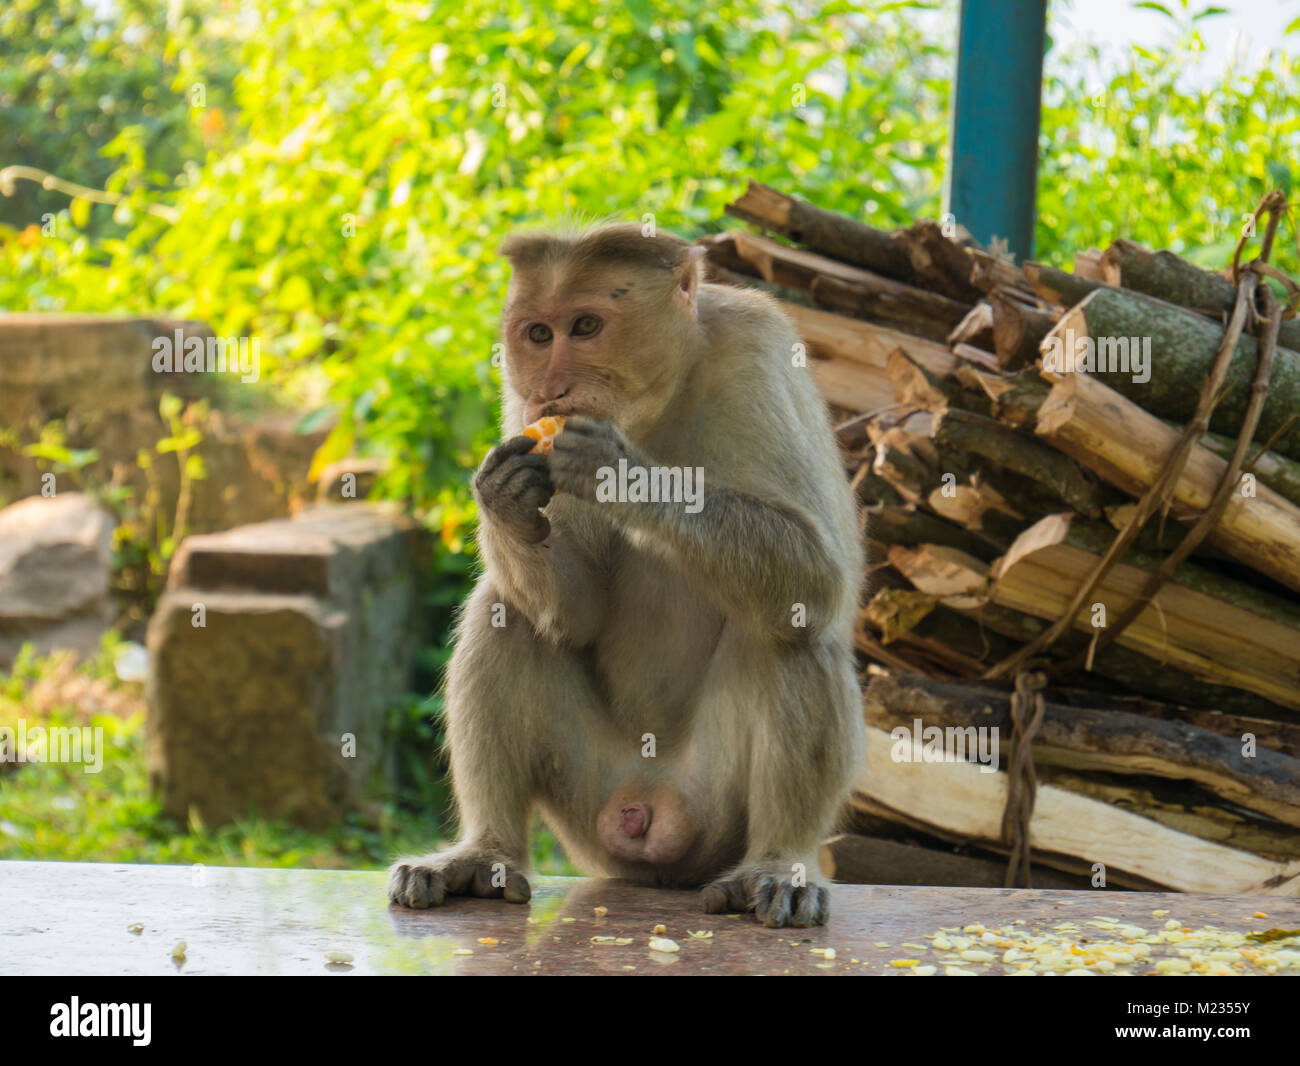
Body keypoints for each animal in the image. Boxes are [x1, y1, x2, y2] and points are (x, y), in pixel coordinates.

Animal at [387, 222, 864, 927]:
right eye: (538, 334)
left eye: (585, 326)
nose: (553, 385)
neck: (660, 400)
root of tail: (646, 808)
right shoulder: (519, 403)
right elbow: (574, 615)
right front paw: (504, 498)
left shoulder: (759, 348)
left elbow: (821, 574)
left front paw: (624, 475)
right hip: (588, 804)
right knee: (509, 612)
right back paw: (484, 853)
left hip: (708, 806)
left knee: (790, 627)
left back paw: (780, 865)